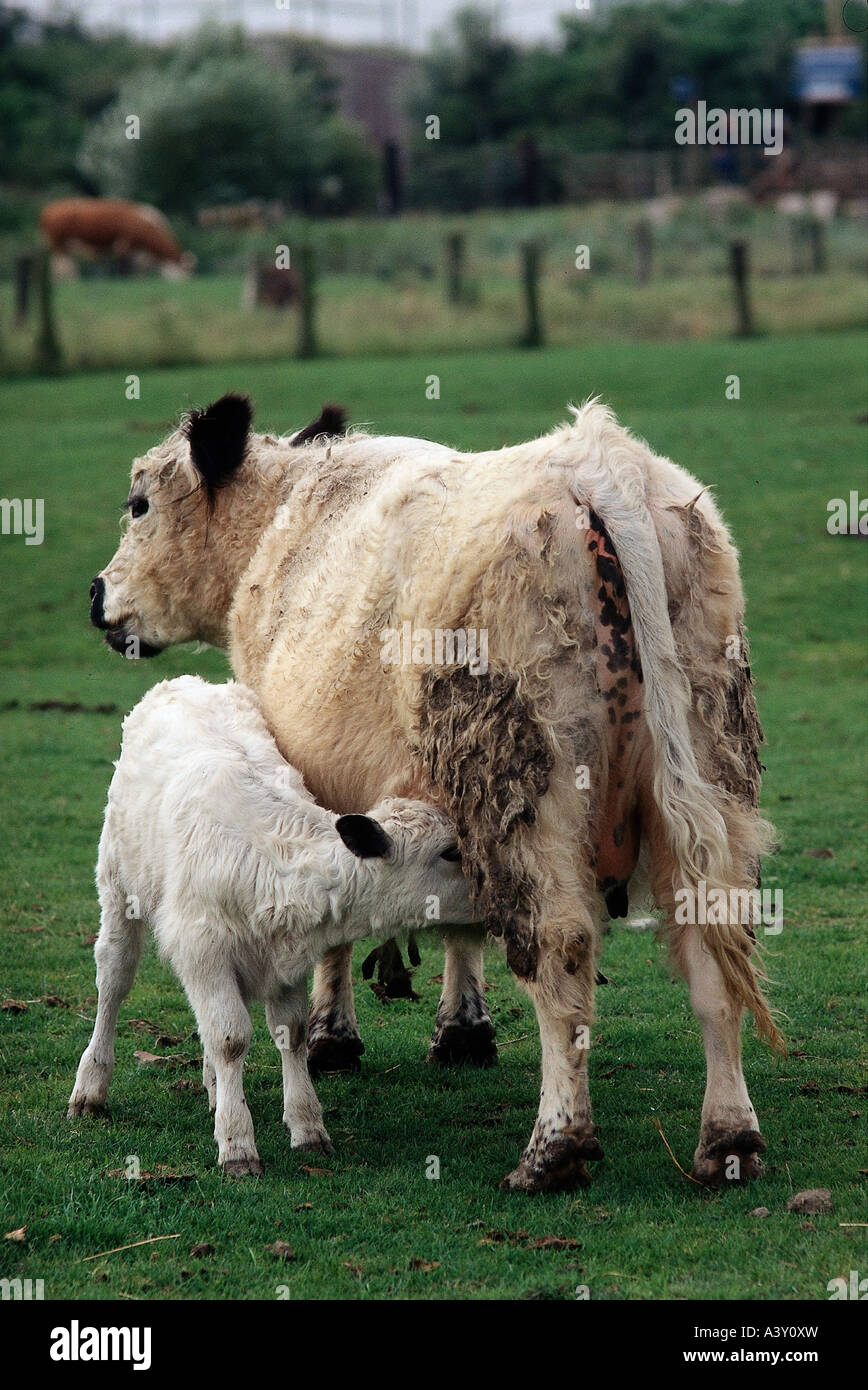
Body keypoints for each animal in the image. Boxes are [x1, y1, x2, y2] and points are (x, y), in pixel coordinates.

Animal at [40, 198, 195, 279]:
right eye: (186, 271)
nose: (187, 282)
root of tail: (49, 208)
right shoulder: (125, 243)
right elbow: (123, 265)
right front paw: (124, 280)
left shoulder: (138, 253)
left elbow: (136, 269)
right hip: (58, 243)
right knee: (61, 264)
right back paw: (70, 281)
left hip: (63, 245)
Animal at [89, 393, 780, 1192]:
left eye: (139, 504)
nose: (97, 594)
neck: (282, 520)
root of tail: (600, 467)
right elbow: (455, 920)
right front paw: (462, 1028)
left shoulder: (327, 779)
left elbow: (338, 926)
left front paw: (333, 1036)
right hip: (708, 774)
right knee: (712, 945)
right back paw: (729, 1136)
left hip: (525, 787)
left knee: (561, 946)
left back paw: (555, 1147)